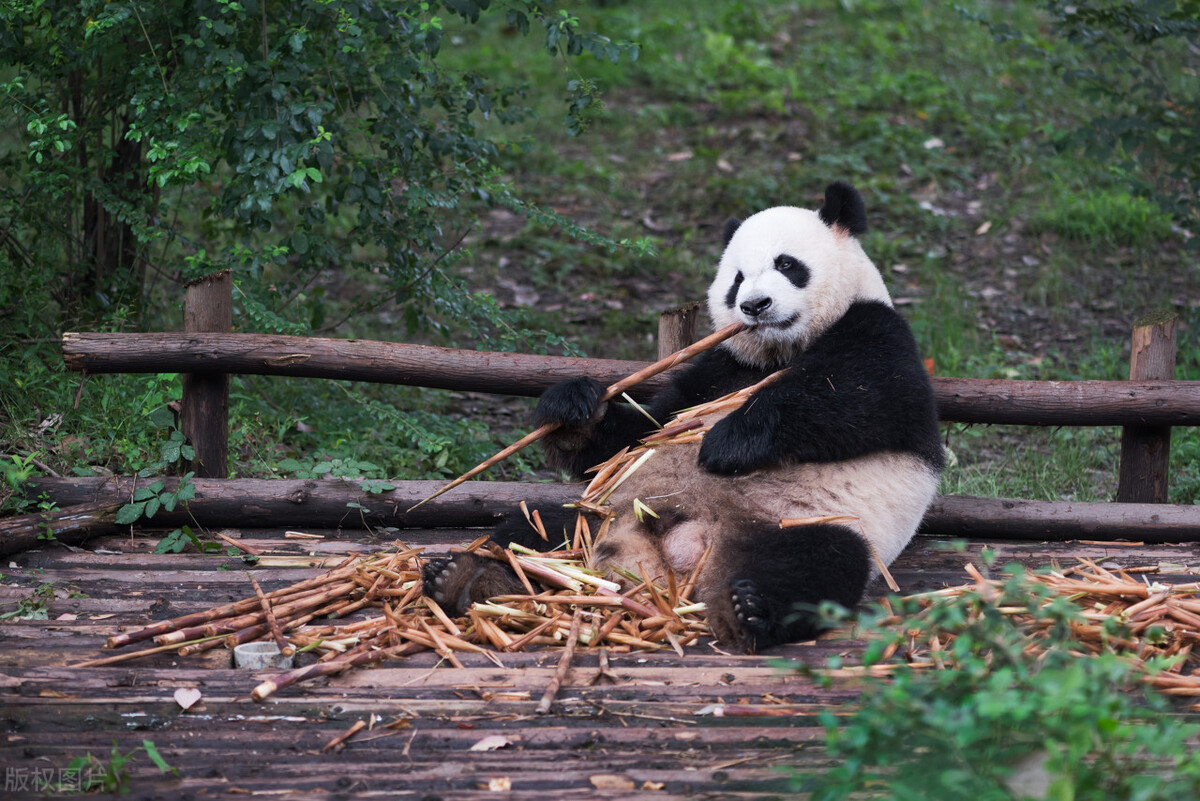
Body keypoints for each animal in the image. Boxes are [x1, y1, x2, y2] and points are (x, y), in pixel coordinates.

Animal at [422, 182, 944, 653]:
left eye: (786, 265)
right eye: (736, 279)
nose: (755, 305)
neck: (778, 352)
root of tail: (680, 558)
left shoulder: (880, 335)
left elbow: (858, 400)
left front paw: (729, 442)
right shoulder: (717, 369)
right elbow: (635, 435)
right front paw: (572, 406)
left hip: (808, 522)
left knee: (815, 566)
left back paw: (748, 610)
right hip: (603, 516)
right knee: (530, 532)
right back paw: (468, 578)